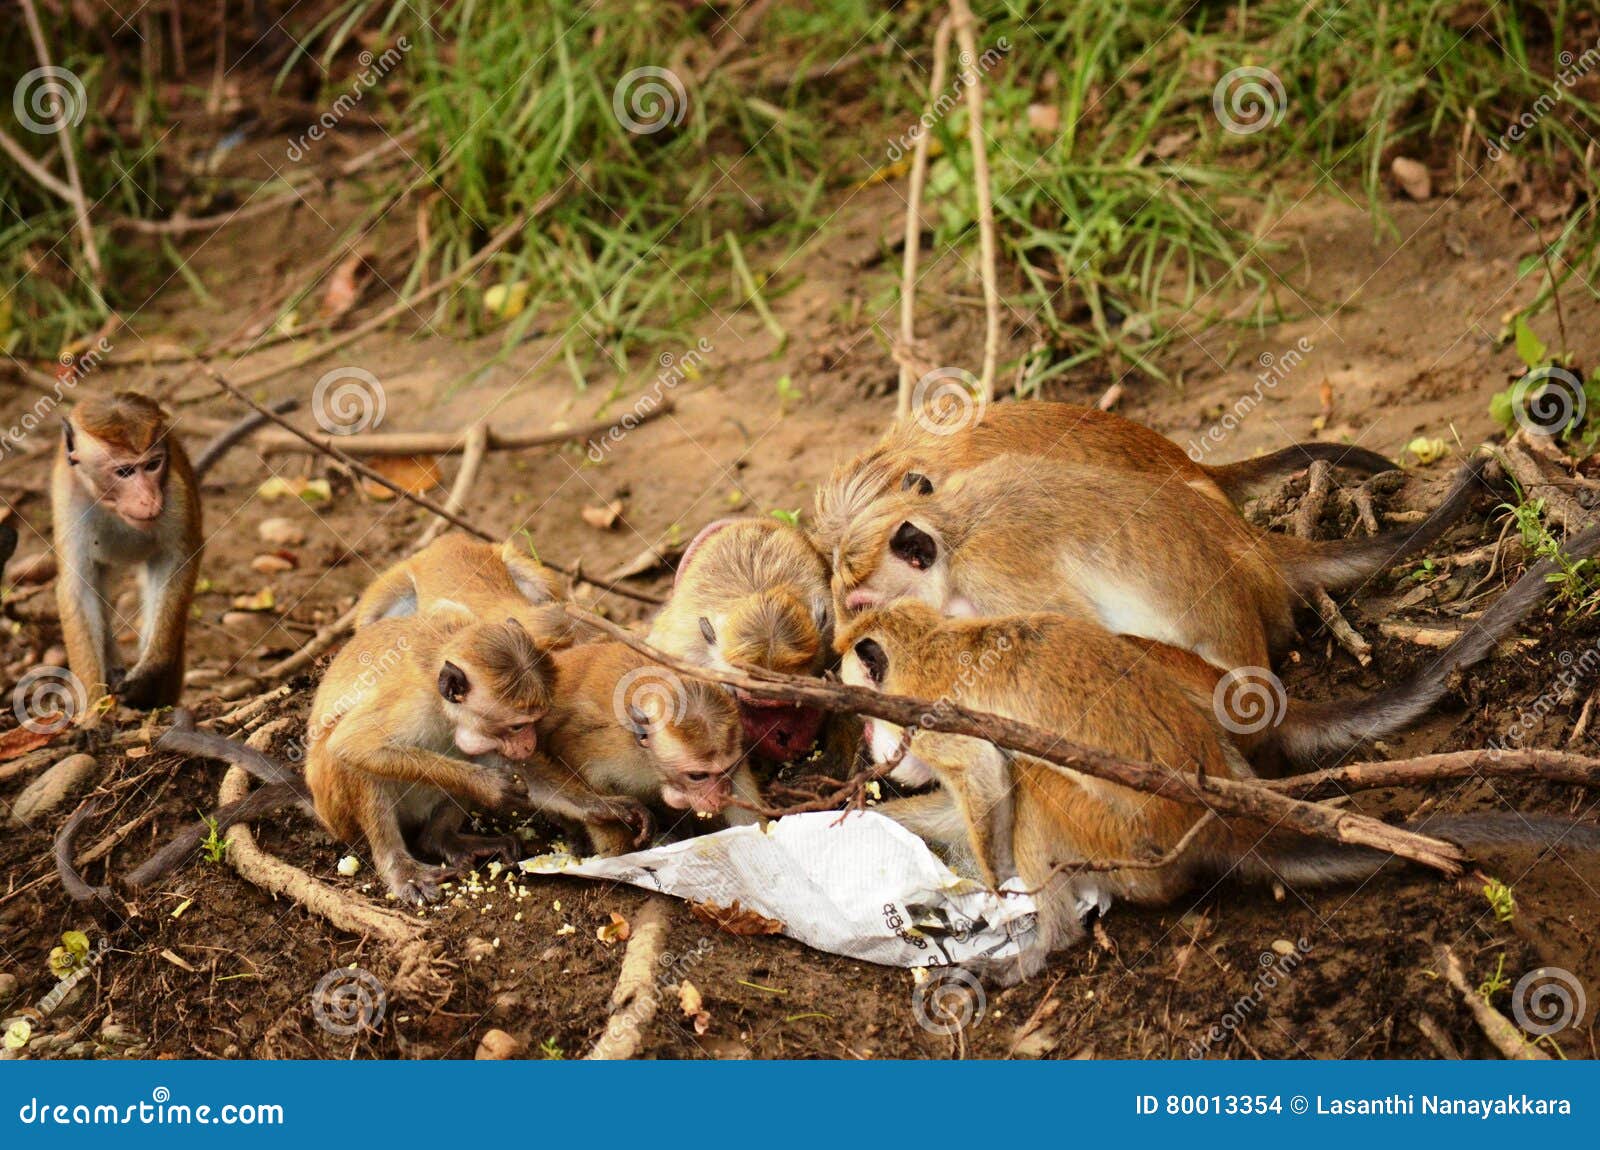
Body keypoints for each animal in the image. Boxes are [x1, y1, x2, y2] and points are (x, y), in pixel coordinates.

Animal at [49, 393, 294, 710]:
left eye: (153, 465)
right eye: (124, 472)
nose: (149, 498)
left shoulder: (174, 492)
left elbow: (179, 558)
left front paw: (150, 669)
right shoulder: (70, 496)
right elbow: (77, 587)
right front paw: (90, 711)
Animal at [837, 601, 1600, 981]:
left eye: (867, 711)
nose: (871, 750)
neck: (932, 638)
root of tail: (1216, 821)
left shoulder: (931, 714)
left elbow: (987, 773)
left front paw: (993, 891)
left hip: (1126, 847)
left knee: (1035, 777)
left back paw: (1044, 944)